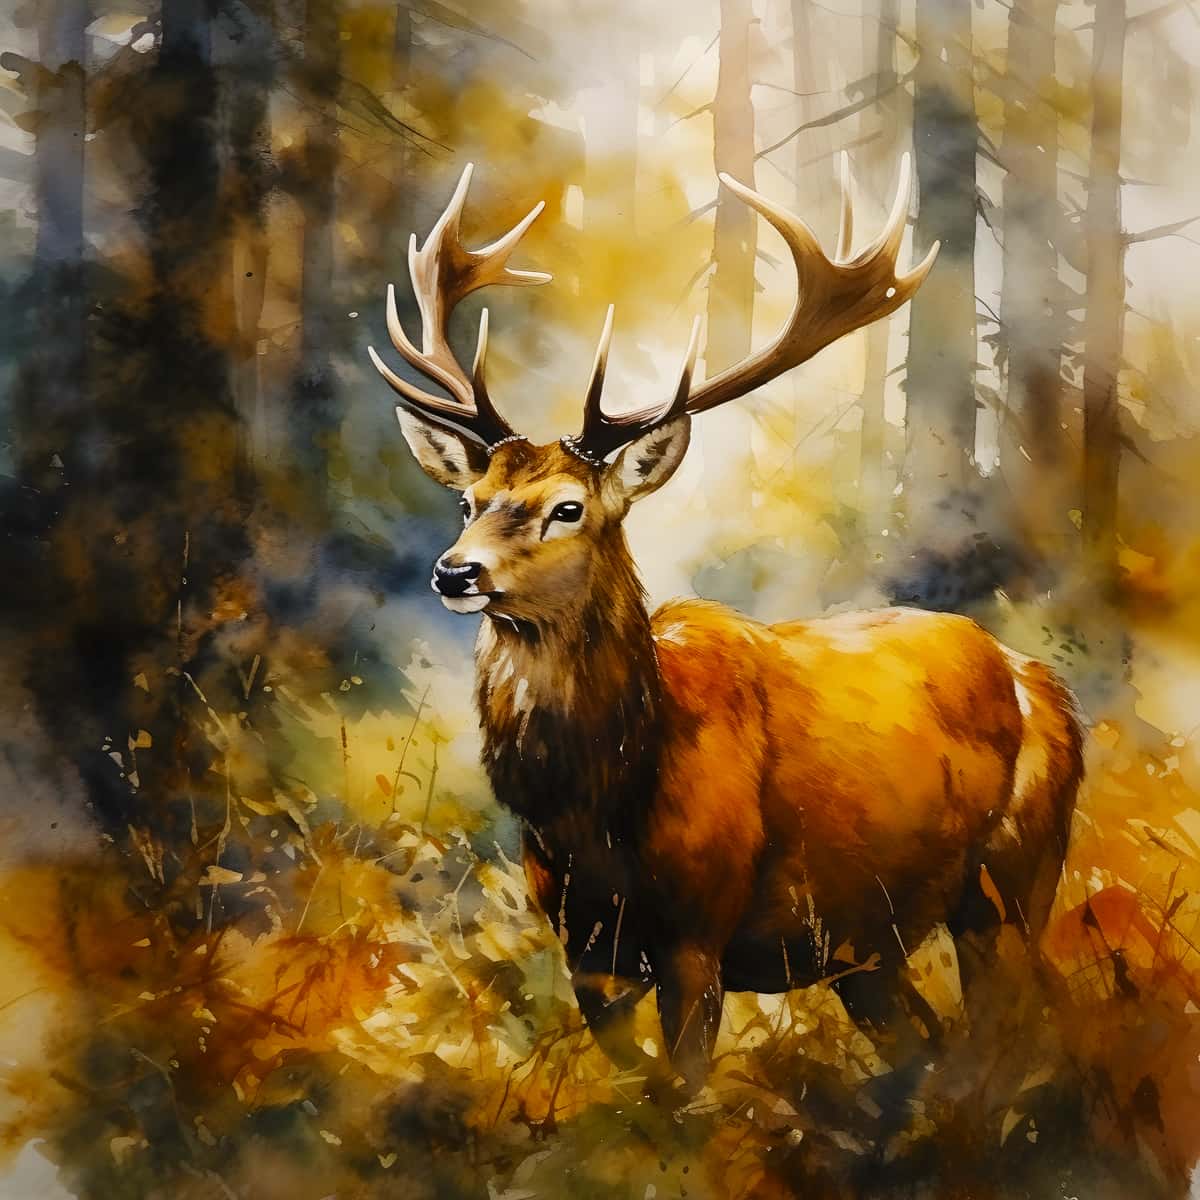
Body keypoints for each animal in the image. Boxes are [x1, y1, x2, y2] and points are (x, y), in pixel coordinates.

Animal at [367, 162, 1084, 1097]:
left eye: (569, 508)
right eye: (468, 501)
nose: (456, 572)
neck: (601, 806)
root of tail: (1041, 683)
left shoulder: (697, 936)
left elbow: (682, 1094)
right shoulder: (585, 949)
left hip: (1014, 879)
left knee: (1019, 1024)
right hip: (872, 949)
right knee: (936, 1041)